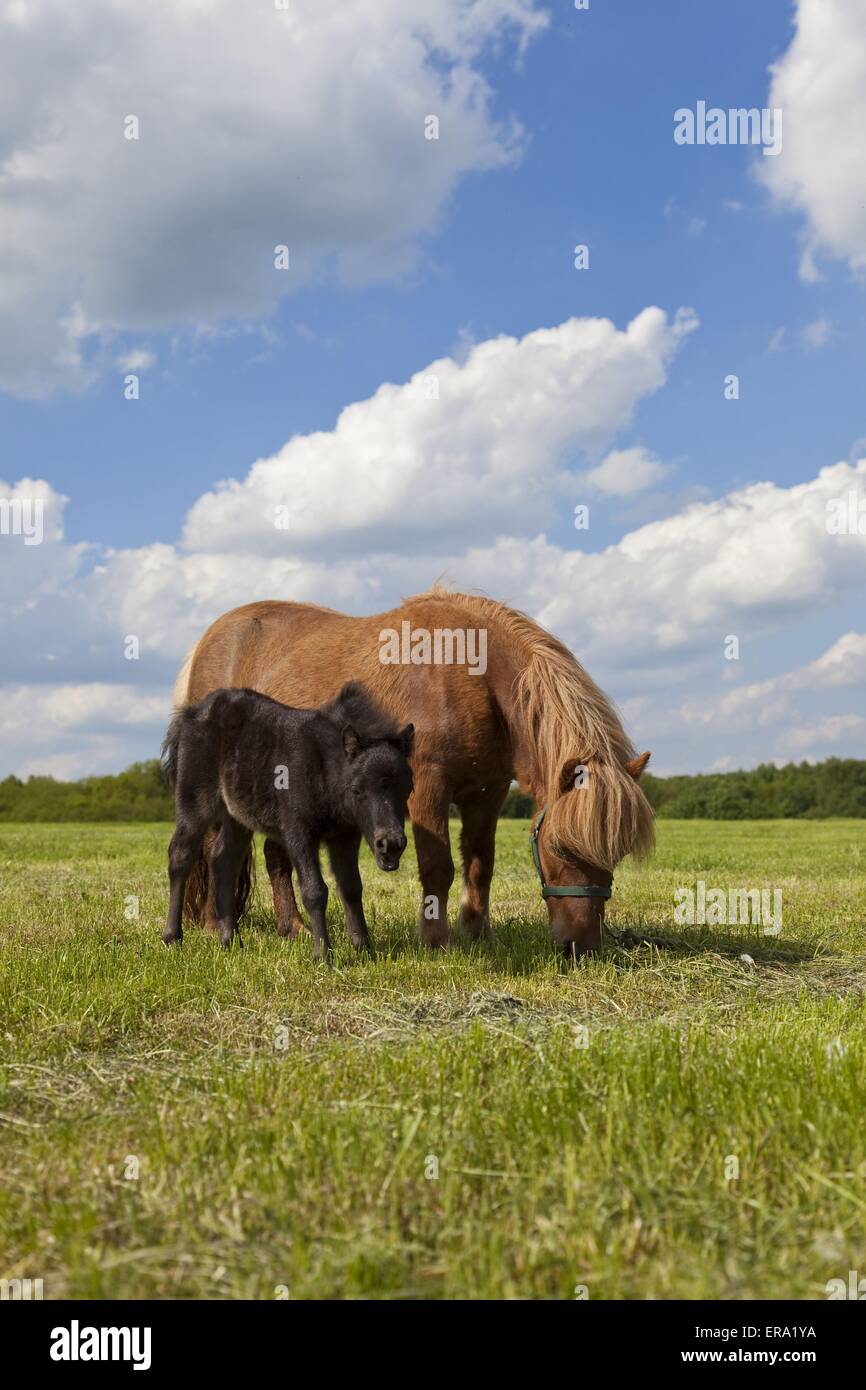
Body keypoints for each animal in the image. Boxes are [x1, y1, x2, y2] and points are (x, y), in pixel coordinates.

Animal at [161, 681, 414, 959]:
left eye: (407, 789)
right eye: (357, 790)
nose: (391, 845)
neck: (323, 767)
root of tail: (190, 714)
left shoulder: (345, 836)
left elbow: (351, 887)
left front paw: (365, 950)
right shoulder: (298, 833)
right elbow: (315, 891)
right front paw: (322, 955)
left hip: (236, 815)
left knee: (223, 858)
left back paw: (230, 940)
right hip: (196, 801)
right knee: (181, 856)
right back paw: (172, 937)